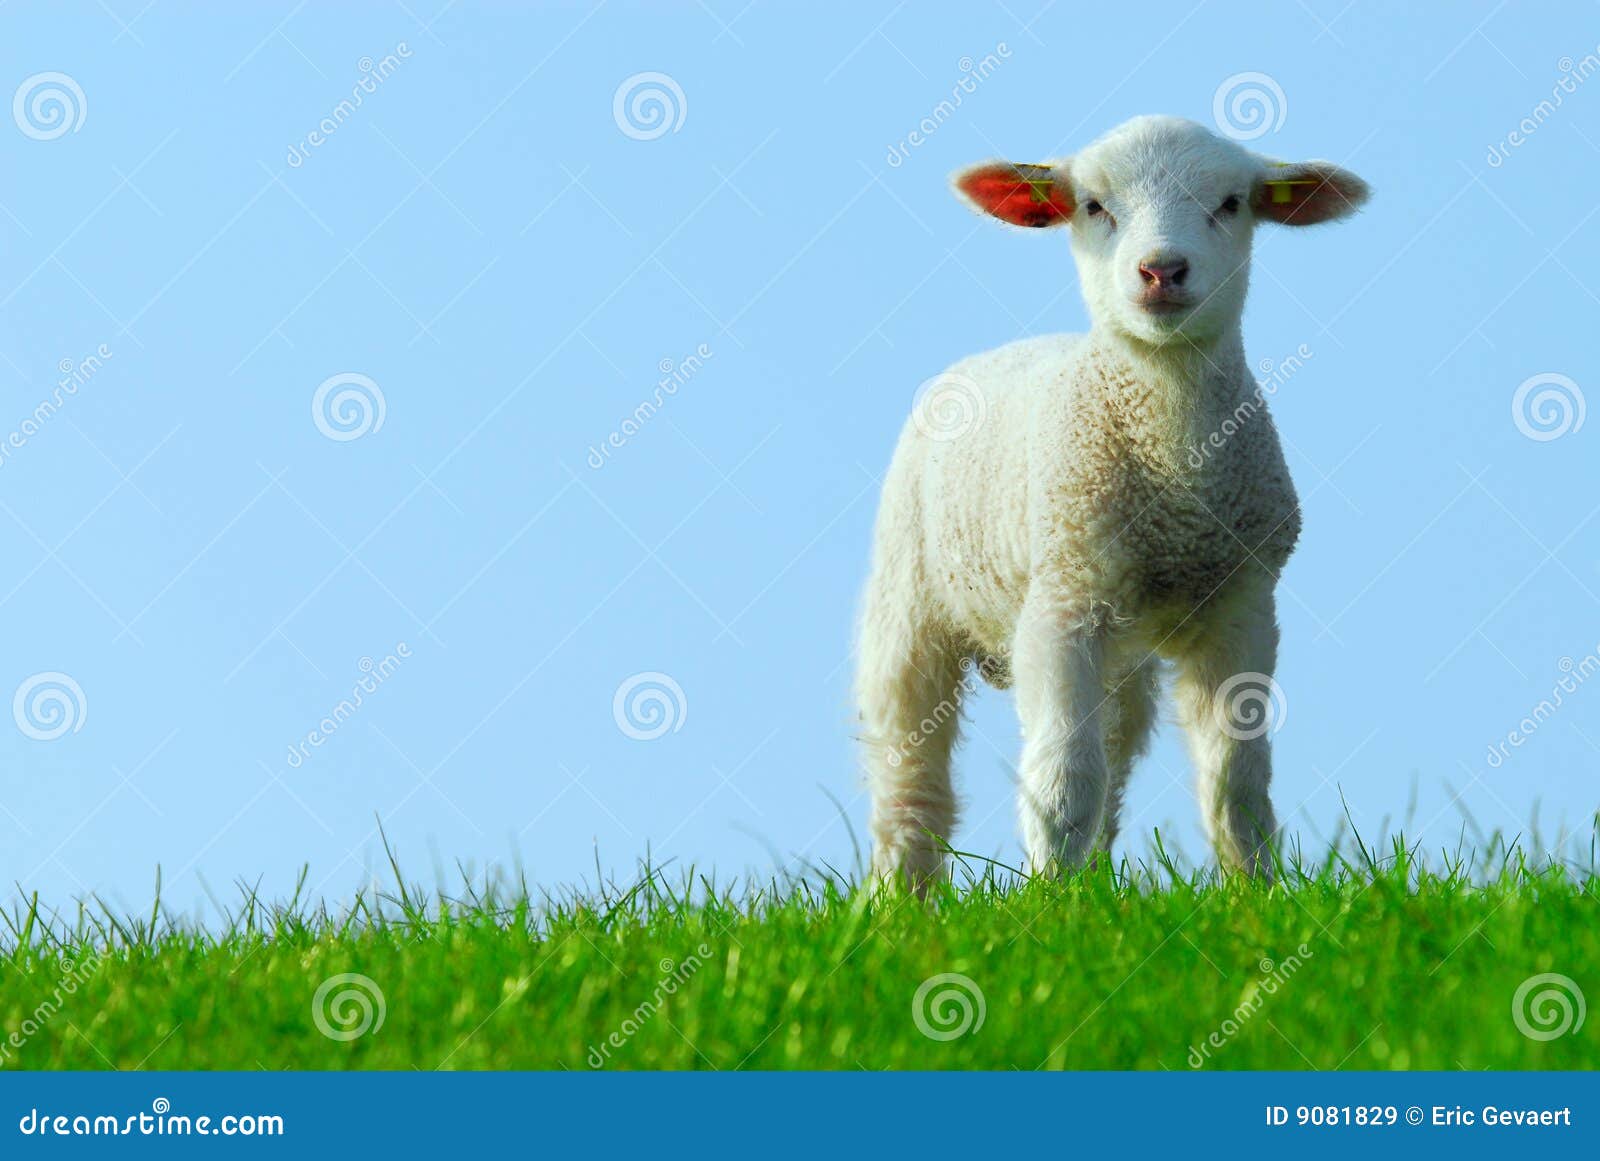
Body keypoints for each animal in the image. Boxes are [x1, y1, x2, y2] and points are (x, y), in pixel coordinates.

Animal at [855, 115, 1369, 887]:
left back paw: (1093, 880)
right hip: (910, 597)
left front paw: (1254, 892)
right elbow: (1062, 784)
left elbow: (1236, 783)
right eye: (1094, 206)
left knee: (1116, 751)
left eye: (1232, 203)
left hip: (1123, 654)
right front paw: (1047, 900)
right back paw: (899, 895)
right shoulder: (1061, 602)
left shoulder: (1245, 605)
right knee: (908, 770)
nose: (1161, 271)